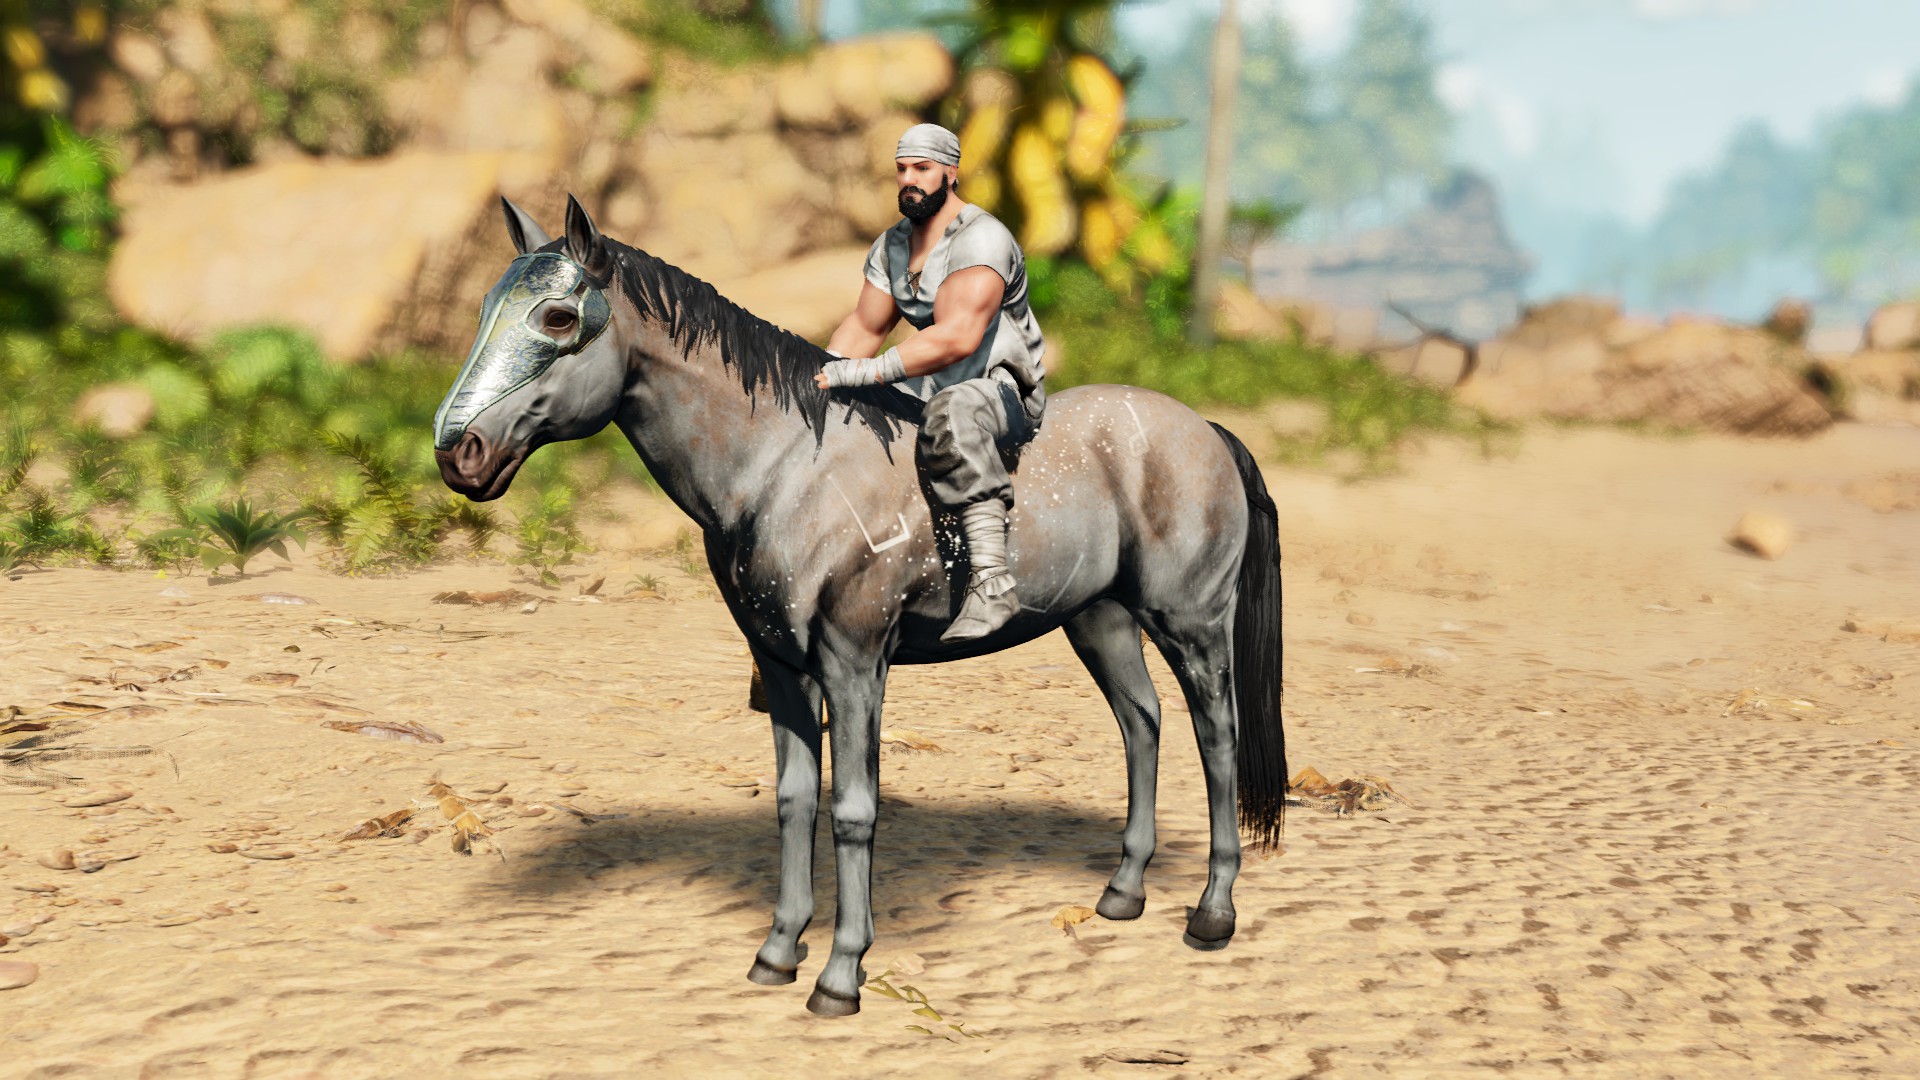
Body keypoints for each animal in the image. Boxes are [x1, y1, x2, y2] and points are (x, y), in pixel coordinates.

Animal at [432, 195, 1286, 1017]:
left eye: (558, 318)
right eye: (486, 311)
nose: (457, 453)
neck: (783, 466)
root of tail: (1205, 430)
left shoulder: (853, 668)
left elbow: (851, 811)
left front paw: (840, 976)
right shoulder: (784, 667)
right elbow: (794, 800)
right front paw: (778, 952)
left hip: (1191, 626)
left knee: (1217, 738)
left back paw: (1212, 914)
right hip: (1099, 621)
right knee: (1143, 724)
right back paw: (1123, 893)